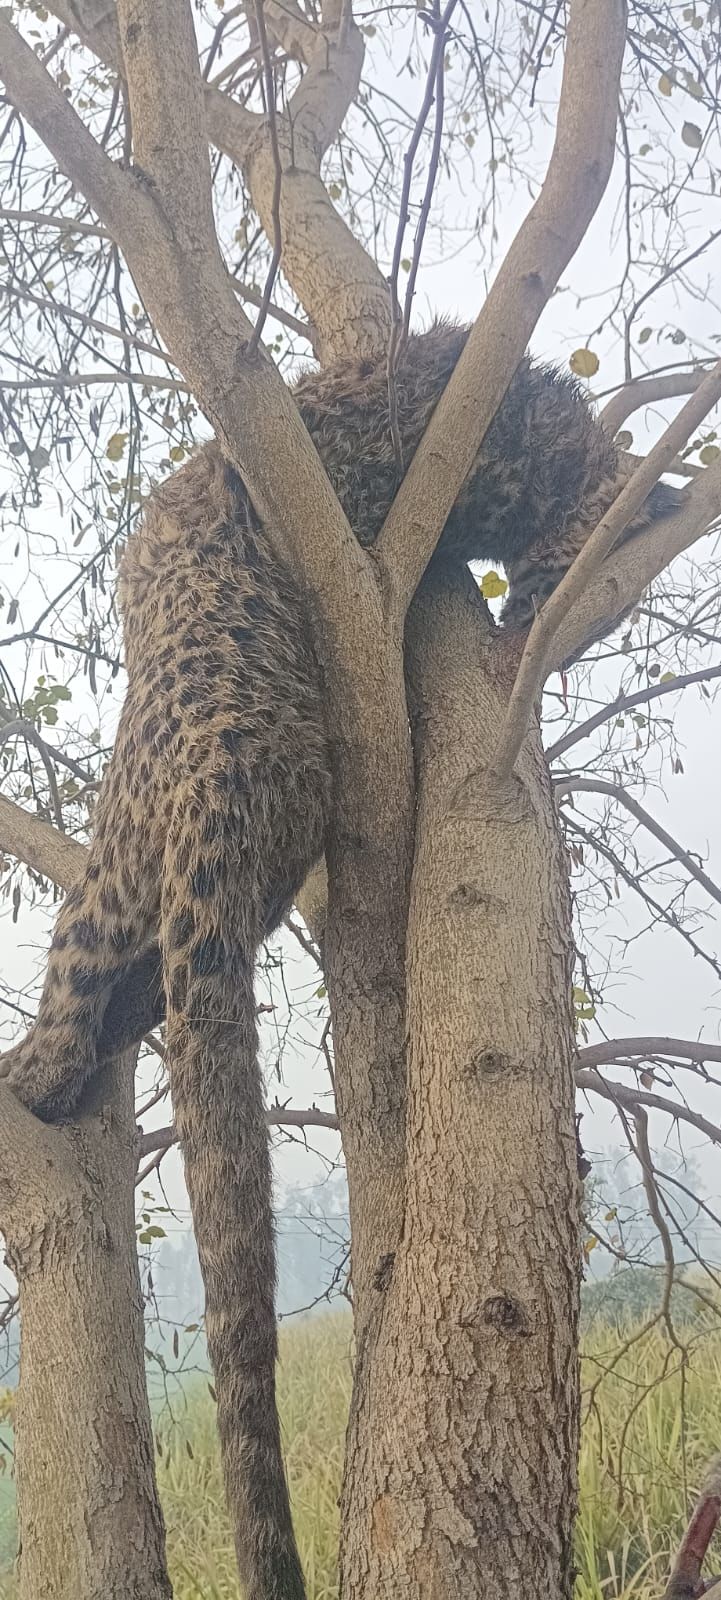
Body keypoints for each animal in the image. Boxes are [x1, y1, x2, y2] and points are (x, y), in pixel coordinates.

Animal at [0, 320, 682, 1600]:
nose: (541, 613)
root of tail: (208, 806)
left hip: (134, 891)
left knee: (84, 1014)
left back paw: (37, 1076)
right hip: (160, 883)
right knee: (83, 1018)